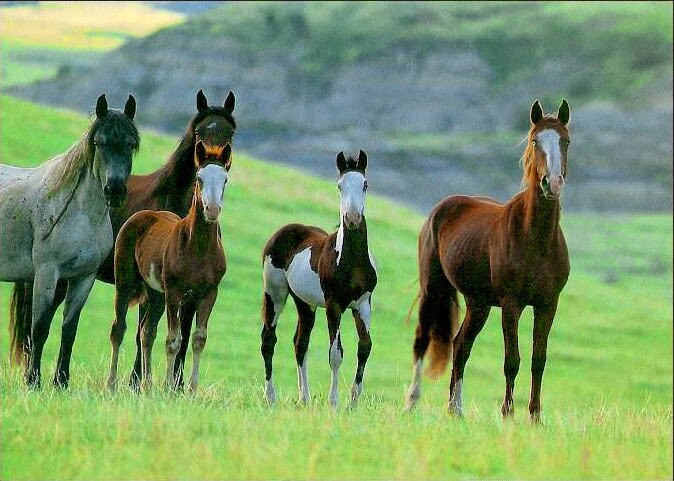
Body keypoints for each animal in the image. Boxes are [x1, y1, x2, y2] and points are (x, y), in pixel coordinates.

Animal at [1, 94, 139, 388]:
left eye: (130, 144)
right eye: (99, 143)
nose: (115, 190)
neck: (80, 214)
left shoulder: (83, 278)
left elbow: (69, 329)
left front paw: (61, 382)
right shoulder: (46, 273)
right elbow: (40, 328)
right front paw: (33, 381)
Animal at [107, 140, 231, 392]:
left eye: (225, 179)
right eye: (199, 178)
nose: (212, 210)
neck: (199, 248)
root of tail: (142, 215)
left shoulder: (209, 292)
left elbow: (198, 338)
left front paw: (191, 390)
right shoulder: (175, 292)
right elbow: (173, 339)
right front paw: (168, 389)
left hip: (155, 293)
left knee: (147, 332)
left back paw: (146, 386)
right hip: (125, 282)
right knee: (119, 328)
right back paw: (112, 384)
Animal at [261, 150, 378, 408]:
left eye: (365, 184)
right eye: (339, 185)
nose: (352, 218)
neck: (351, 261)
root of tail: (282, 232)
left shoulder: (363, 304)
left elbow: (365, 347)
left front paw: (353, 401)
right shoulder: (334, 306)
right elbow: (335, 353)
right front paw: (334, 402)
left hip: (305, 303)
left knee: (300, 343)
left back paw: (304, 398)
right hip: (275, 294)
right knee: (268, 339)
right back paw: (271, 396)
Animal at [405, 99, 571, 421]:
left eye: (565, 141)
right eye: (535, 141)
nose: (552, 183)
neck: (535, 239)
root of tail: (440, 209)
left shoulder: (548, 304)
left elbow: (539, 359)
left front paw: (535, 417)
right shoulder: (511, 304)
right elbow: (512, 360)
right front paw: (507, 413)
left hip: (478, 304)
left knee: (460, 345)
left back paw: (455, 408)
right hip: (433, 290)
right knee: (422, 340)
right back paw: (411, 402)